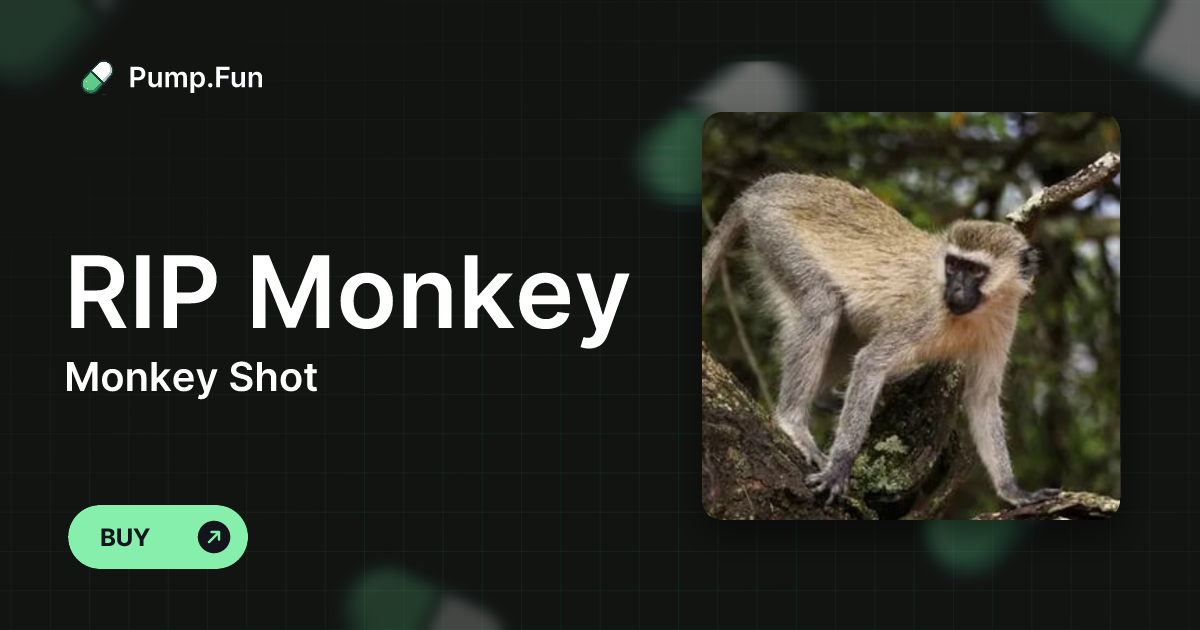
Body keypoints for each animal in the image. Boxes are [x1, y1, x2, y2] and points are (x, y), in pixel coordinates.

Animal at [702, 173, 1059, 507]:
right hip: (776, 232)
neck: (971, 314)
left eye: (975, 271)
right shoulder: (922, 315)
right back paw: (793, 420)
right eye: (953, 265)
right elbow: (871, 361)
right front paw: (839, 466)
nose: (955, 289)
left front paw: (1012, 490)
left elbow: (982, 398)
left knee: (844, 327)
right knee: (822, 304)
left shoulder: (1002, 325)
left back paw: (825, 398)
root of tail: (770, 184)